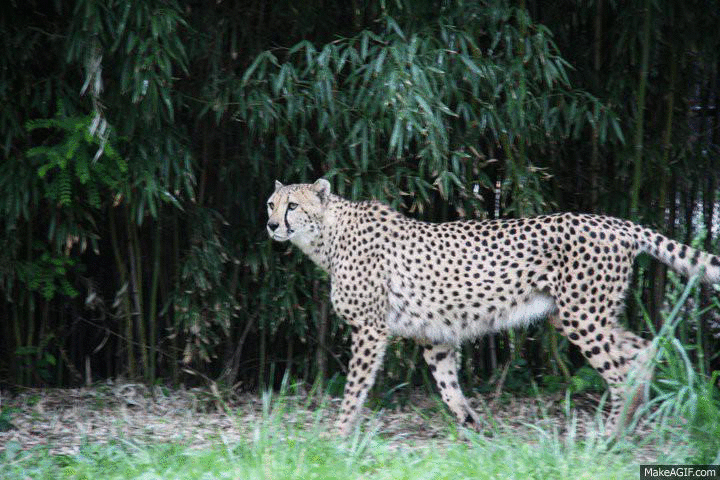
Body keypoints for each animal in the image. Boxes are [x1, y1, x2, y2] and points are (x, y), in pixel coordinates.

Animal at [266, 178, 720, 436]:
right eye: (272, 203)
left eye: (293, 206)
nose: (271, 225)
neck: (326, 235)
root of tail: (612, 221)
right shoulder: (435, 334)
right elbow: (448, 384)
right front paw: (472, 426)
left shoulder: (370, 329)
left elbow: (355, 388)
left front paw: (339, 435)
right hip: (575, 314)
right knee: (642, 350)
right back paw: (631, 427)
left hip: (583, 316)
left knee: (622, 370)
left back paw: (609, 436)